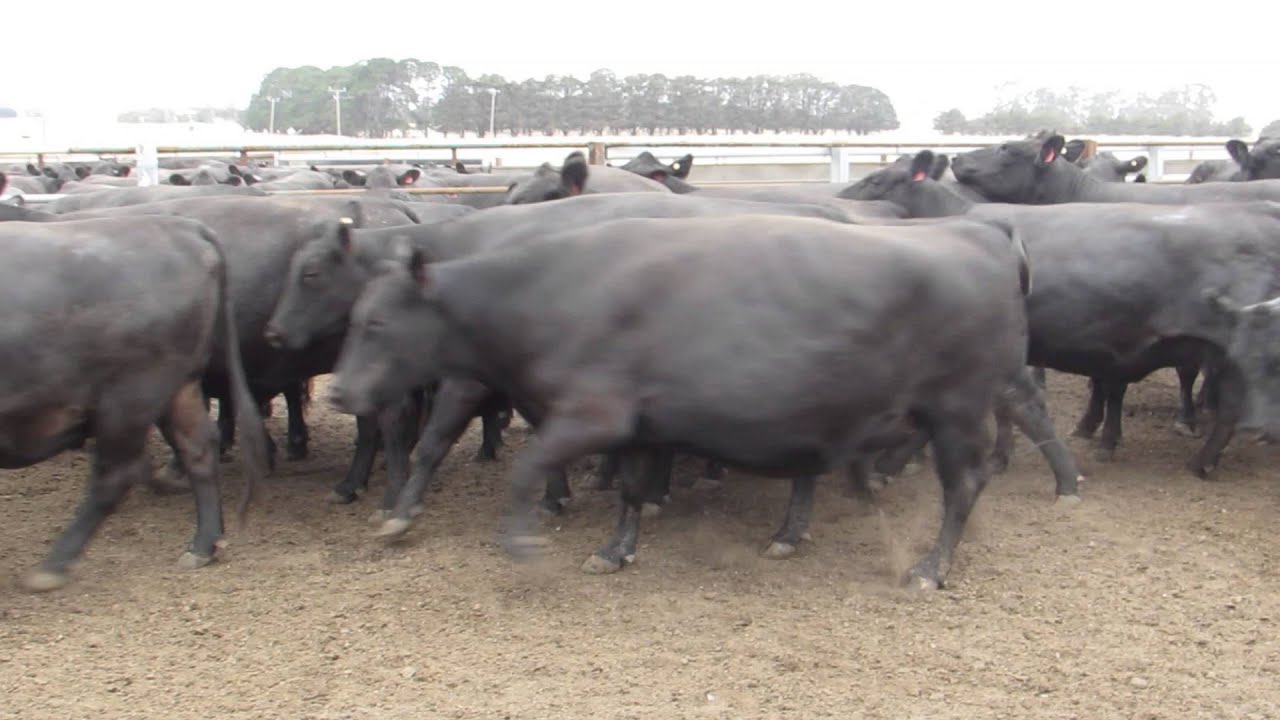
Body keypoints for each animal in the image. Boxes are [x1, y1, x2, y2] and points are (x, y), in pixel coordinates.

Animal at [0, 215, 269, 592]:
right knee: (198, 449)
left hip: (128, 401)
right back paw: (203, 546)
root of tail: (181, 227)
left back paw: (53, 566)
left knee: (114, 476)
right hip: (177, 389)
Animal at [326, 212, 1052, 590]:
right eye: (353, 318)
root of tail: (977, 230)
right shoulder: (639, 426)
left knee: (963, 486)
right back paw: (800, 533)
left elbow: (527, 471)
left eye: (378, 323)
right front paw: (616, 549)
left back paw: (931, 567)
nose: (336, 389)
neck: (547, 293)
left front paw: (523, 545)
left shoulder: (591, 414)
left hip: (958, 409)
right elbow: (628, 490)